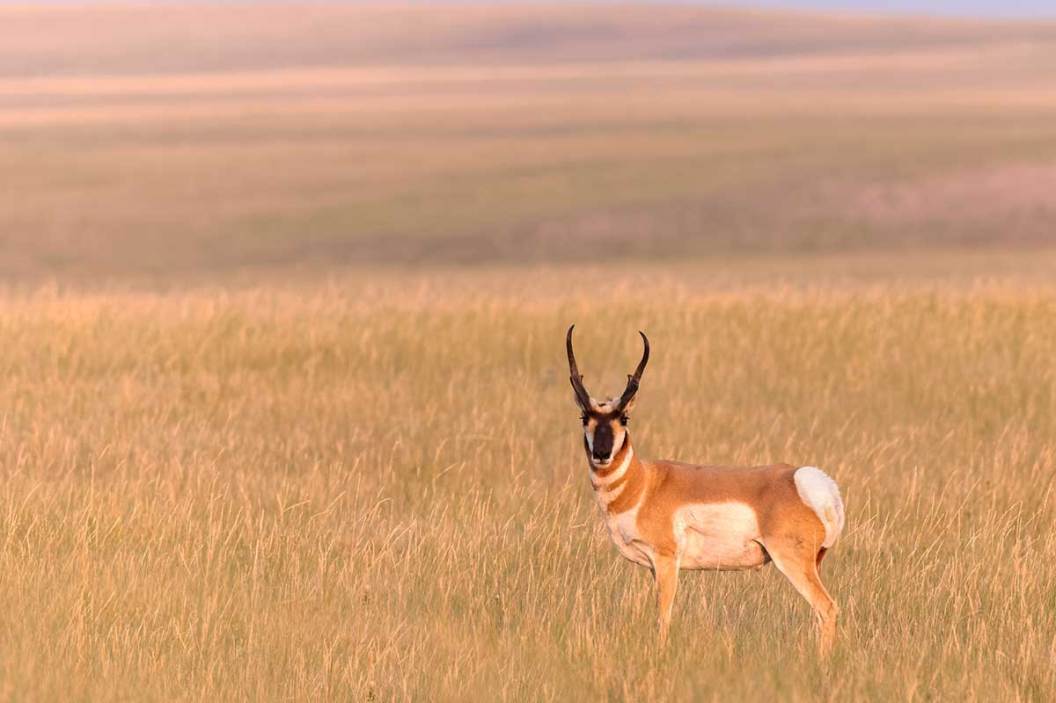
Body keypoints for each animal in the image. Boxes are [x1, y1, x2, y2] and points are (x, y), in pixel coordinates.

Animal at [566, 325, 845, 654]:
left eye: (624, 417)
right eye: (585, 417)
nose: (602, 454)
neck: (644, 484)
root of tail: (805, 481)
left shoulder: (666, 561)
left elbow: (663, 617)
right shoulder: (654, 567)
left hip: (792, 562)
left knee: (827, 607)